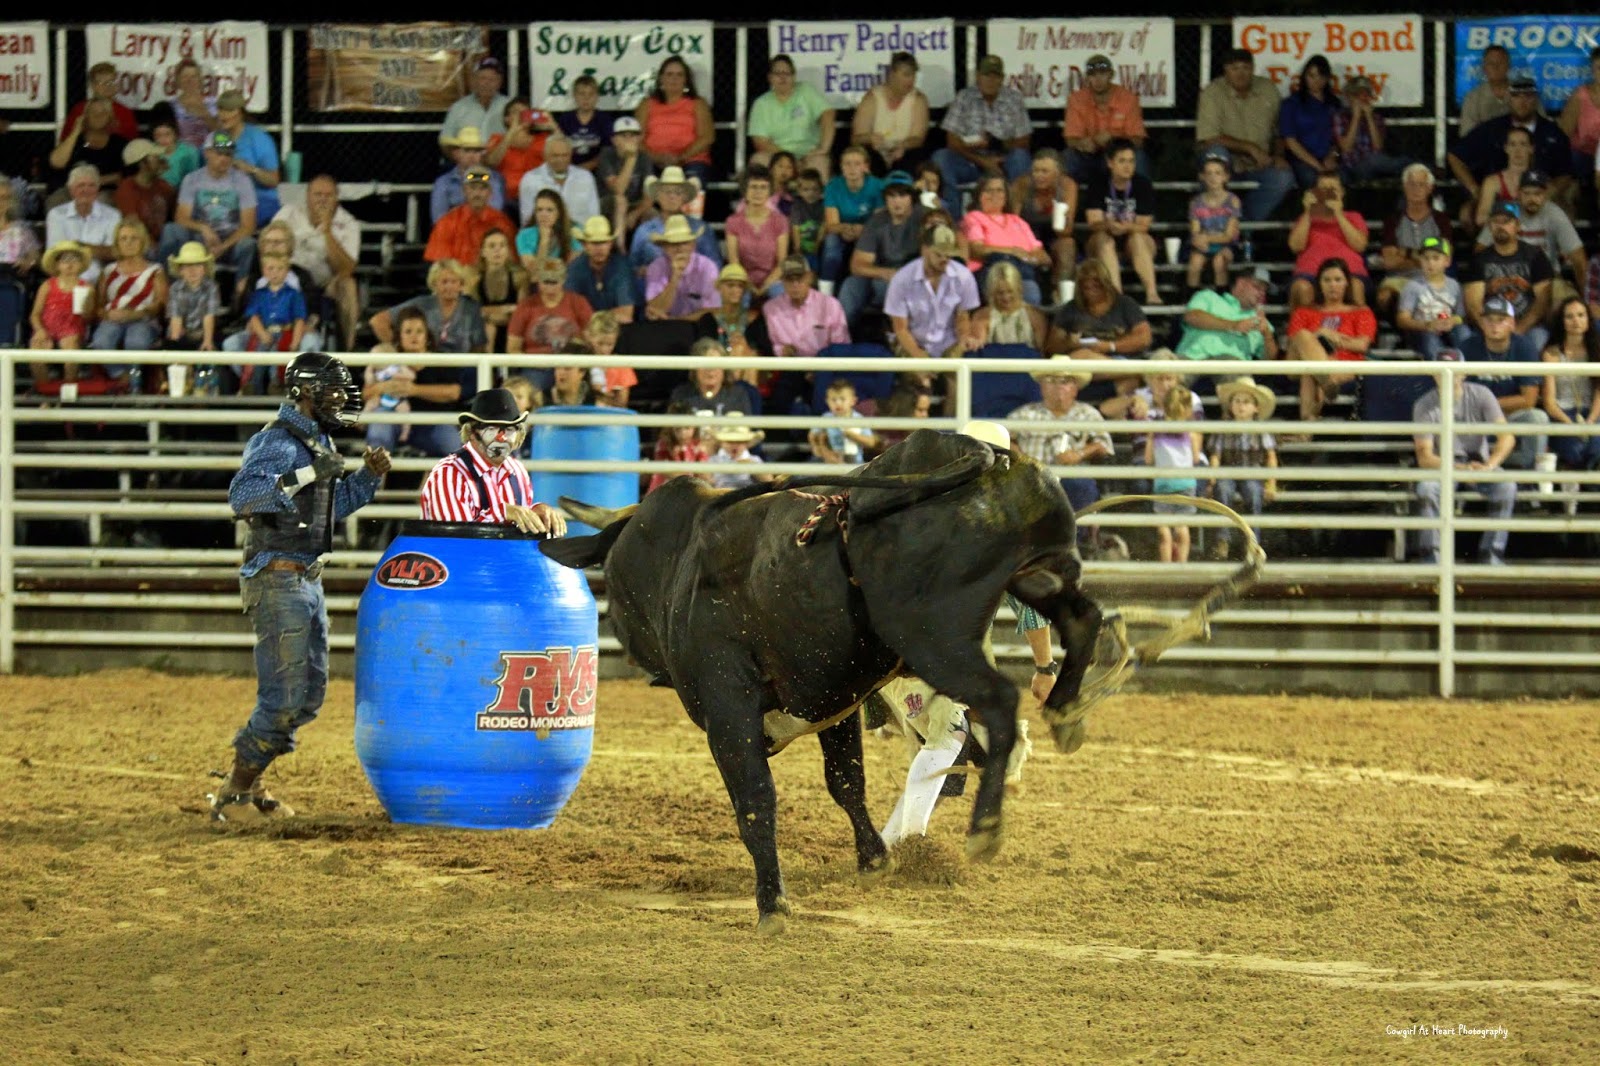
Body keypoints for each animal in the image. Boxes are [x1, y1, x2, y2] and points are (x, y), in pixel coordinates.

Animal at [541, 428, 1107, 933]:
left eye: (615, 588)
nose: (627, 638)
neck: (680, 559)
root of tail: (982, 454)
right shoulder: (837, 701)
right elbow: (845, 782)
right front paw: (874, 859)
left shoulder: (728, 709)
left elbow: (754, 800)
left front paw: (772, 904)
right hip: (1037, 574)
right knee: (1084, 621)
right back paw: (1065, 712)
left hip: (935, 641)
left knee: (1000, 700)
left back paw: (986, 827)